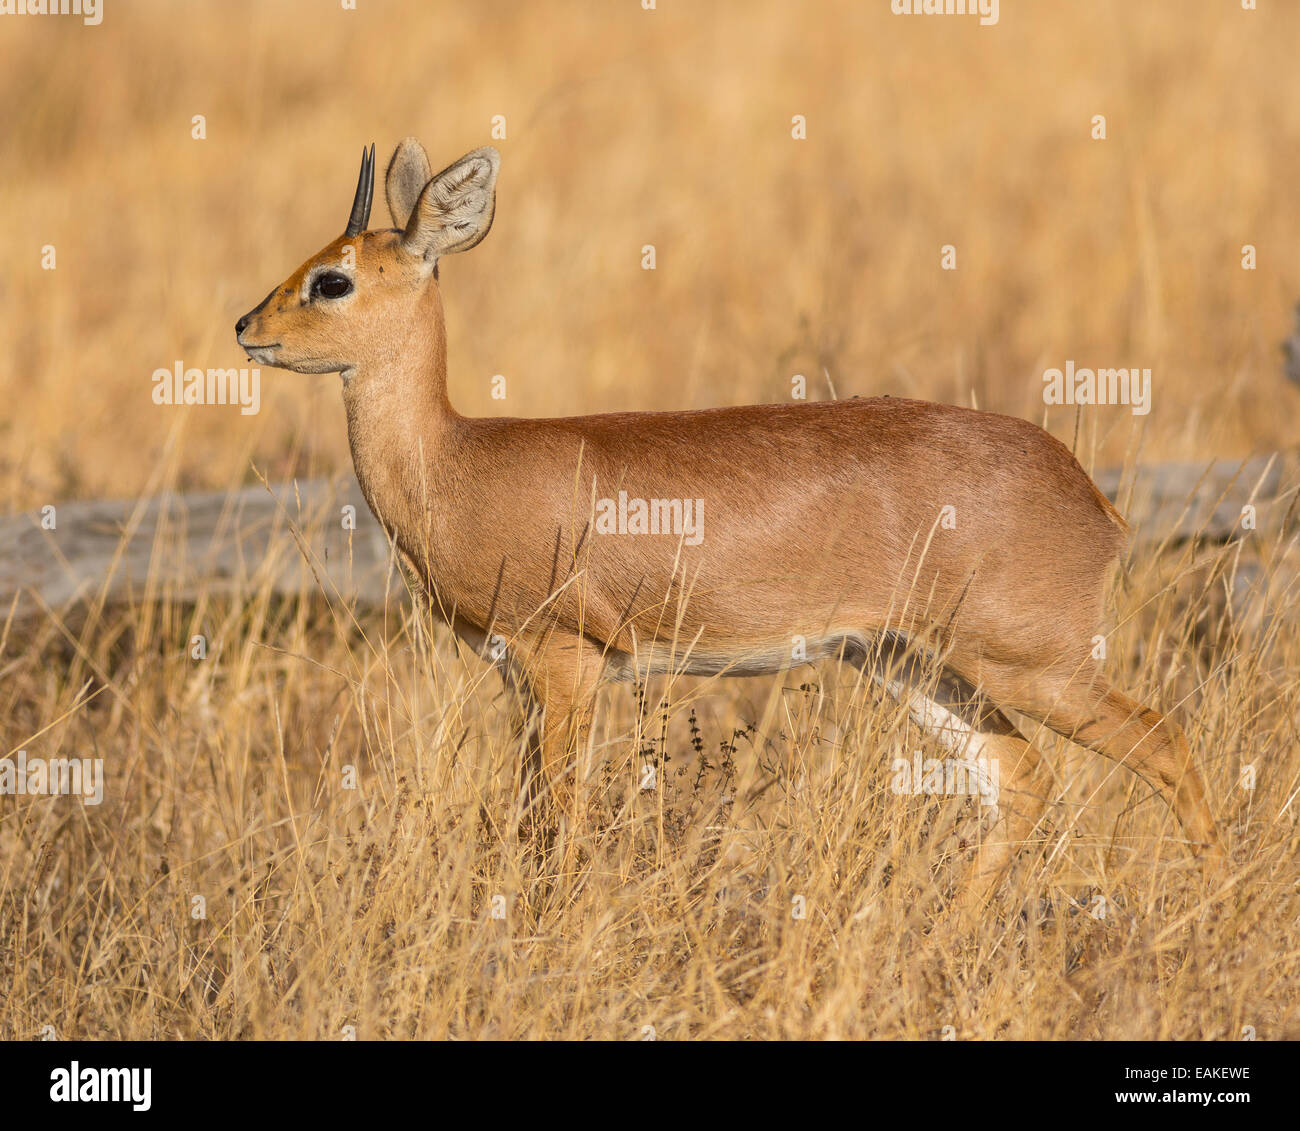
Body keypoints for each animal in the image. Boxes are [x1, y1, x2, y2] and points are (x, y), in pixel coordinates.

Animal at [236, 139, 1226, 918]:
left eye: (333, 278)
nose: (246, 325)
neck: (456, 459)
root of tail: (1091, 496)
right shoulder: (518, 675)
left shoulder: (566, 661)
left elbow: (560, 820)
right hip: (915, 663)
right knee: (1022, 780)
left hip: (1035, 664)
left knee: (1167, 744)